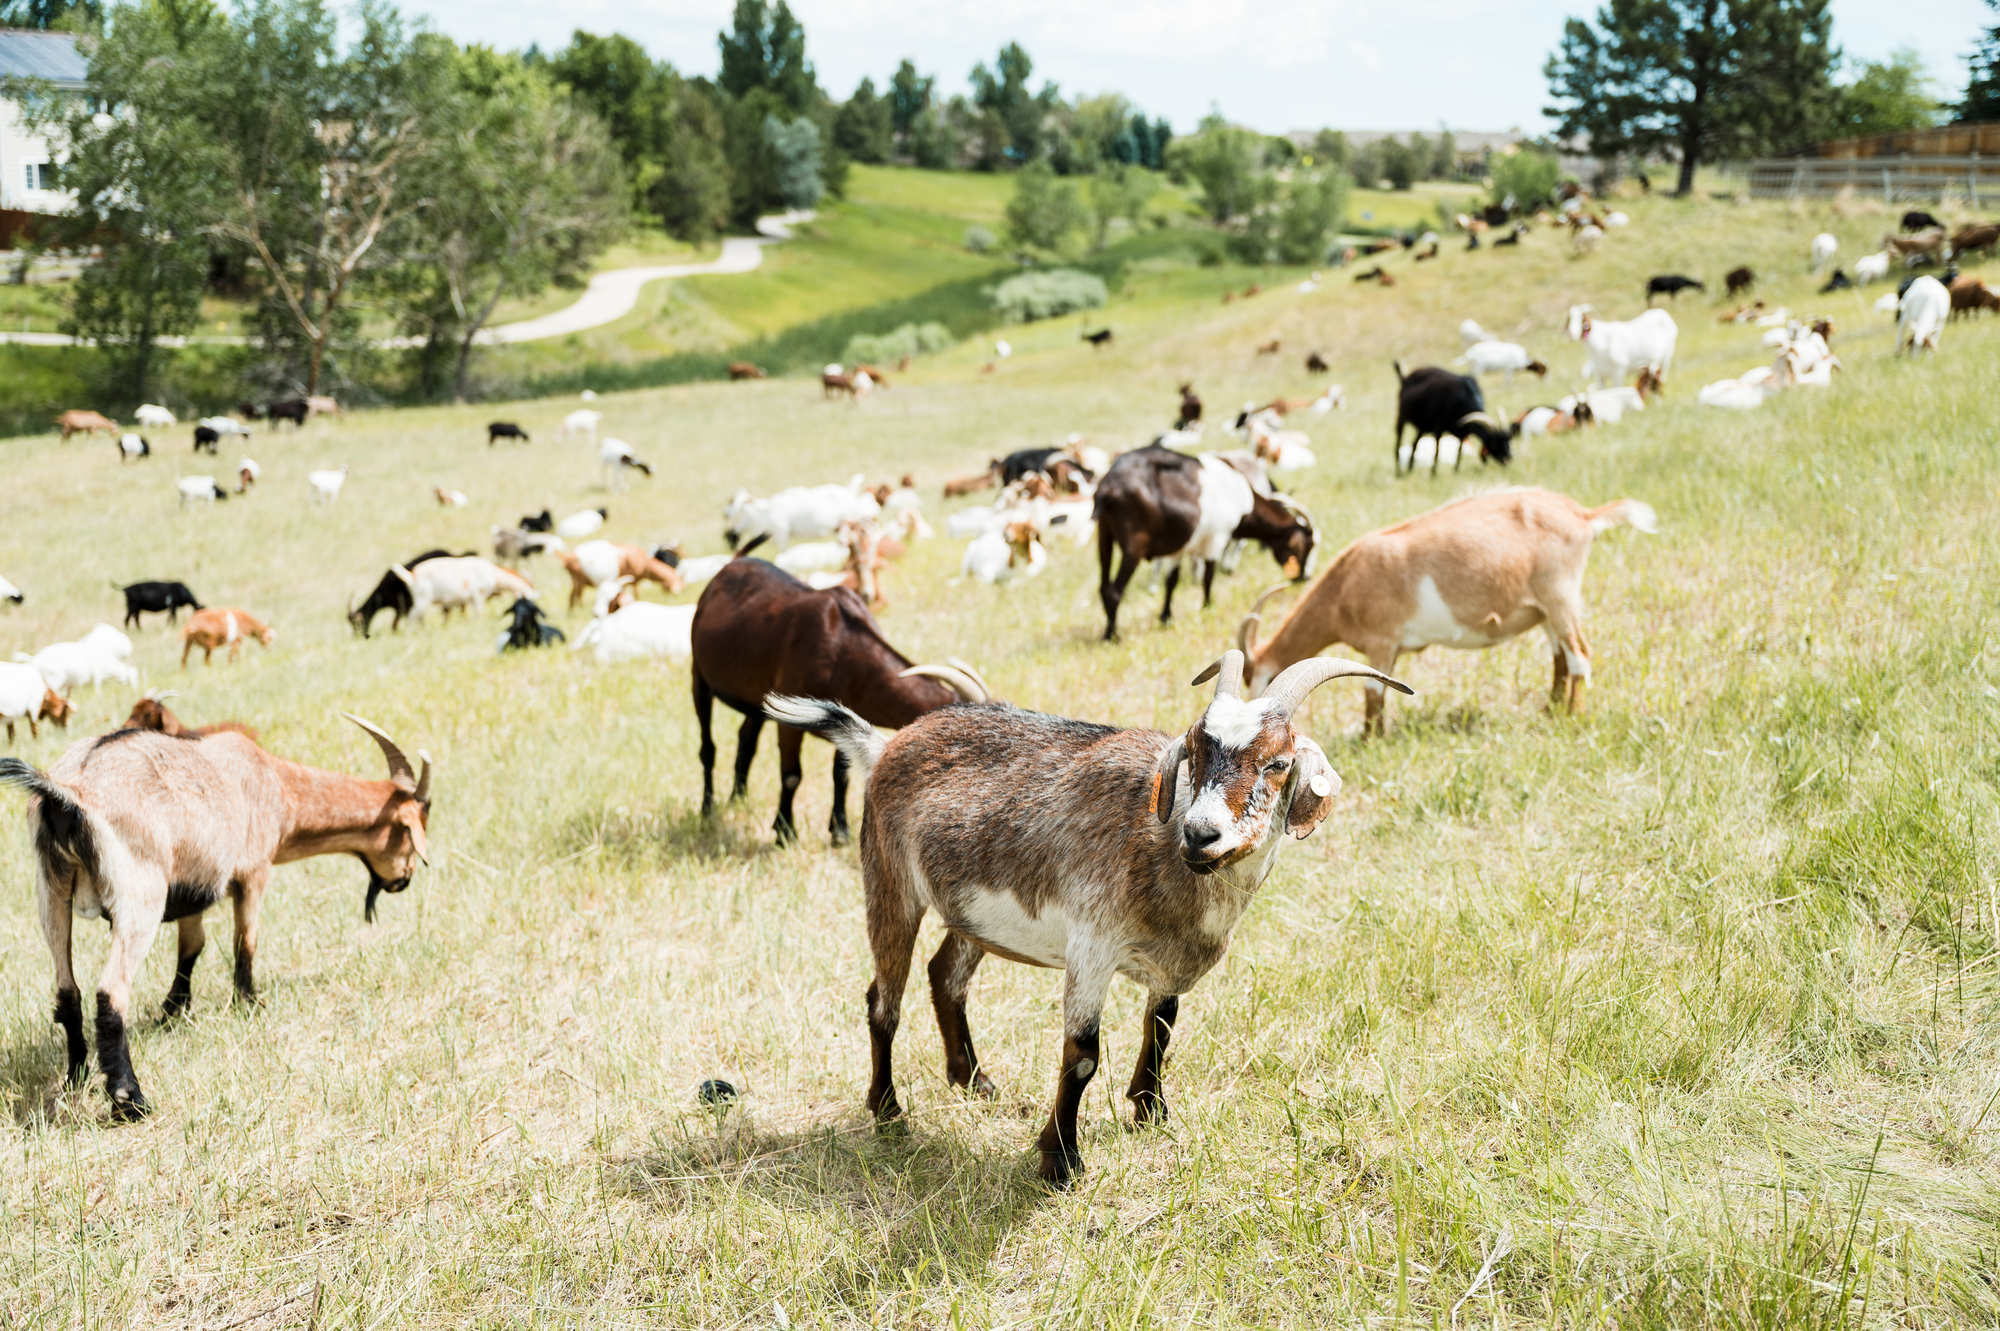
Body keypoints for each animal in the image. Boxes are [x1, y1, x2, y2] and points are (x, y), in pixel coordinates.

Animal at [0, 714, 431, 1119]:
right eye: (411, 833)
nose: (404, 880)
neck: (275, 785)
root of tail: (69, 790)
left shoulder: (191, 892)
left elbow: (192, 946)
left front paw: (174, 1010)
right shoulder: (254, 871)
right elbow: (246, 939)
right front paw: (249, 1002)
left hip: (51, 887)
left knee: (66, 988)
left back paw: (75, 1077)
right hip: (140, 893)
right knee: (110, 991)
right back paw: (129, 1100)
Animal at [690, 555, 989, 844]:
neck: (842, 645)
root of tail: (730, 566)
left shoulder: (845, 718)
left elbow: (842, 775)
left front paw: (840, 831)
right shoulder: (789, 722)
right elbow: (791, 775)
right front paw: (785, 832)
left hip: (756, 700)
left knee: (746, 739)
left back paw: (737, 799)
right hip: (699, 678)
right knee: (708, 748)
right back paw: (707, 809)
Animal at [762, 647, 1404, 1184]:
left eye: (1277, 763)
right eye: (1196, 751)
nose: (1201, 835)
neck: (1161, 849)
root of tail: (883, 746)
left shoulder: (1165, 965)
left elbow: (1161, 1028)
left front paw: (1150, 1113)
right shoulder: (1092, 947)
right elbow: (1082, 1056)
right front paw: (1060, 1161)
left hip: (969, 914)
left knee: (945, 976)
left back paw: (976, 1082)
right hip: (890, 883)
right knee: (882, 1001)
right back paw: (890, 1114)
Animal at [1237, 487, 1656, 733]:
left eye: (1253, 678)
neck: (1347, 581)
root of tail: (1582, 516)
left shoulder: (1382, 640)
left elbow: (1372, 692)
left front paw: (1369, 741)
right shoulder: (1390, 650)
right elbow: (1381, 689)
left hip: (1560, 596)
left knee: (1580, 654)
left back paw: (1573, 717)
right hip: (1545, 609)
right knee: (1561, 657)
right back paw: (1551, 710)